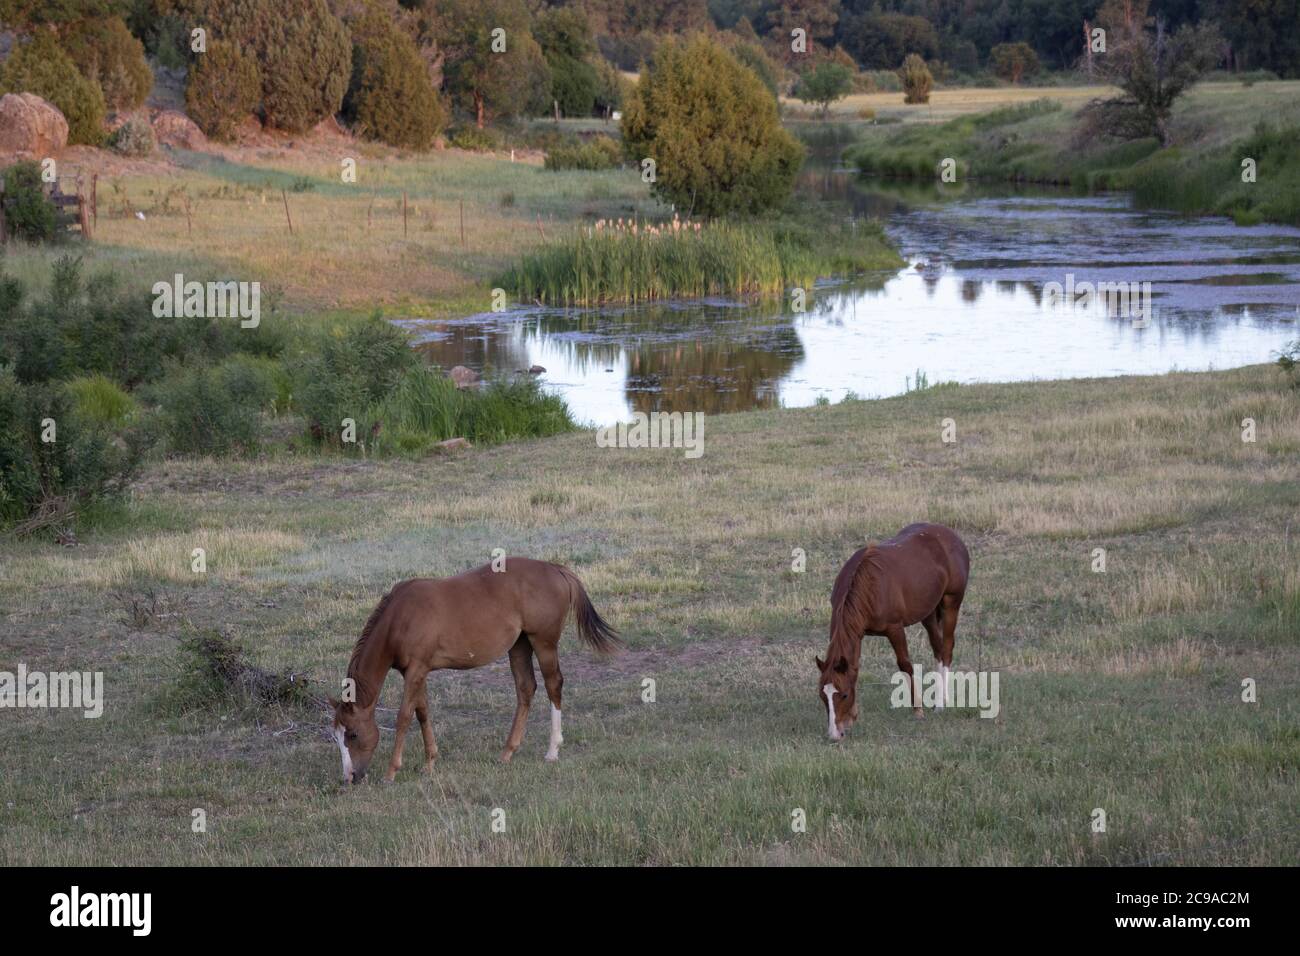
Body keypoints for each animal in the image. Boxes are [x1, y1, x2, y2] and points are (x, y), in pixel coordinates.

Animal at [329, 557, 621, 783]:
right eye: (337, 735)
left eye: (353, 734)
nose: (349, 777)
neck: (400, 617)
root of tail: (555, 569)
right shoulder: (416, 672)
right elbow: (422, 712)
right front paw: (430, 763)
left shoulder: (416, 670)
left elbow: (404, 717)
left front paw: (392, 771)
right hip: (519, 645)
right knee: (526, 689)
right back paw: (507, 752)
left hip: (543, 642)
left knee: (553, 685)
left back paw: (552, 751)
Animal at [817, 523, 969, 739]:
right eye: (823, 695)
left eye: (844, 695)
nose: (834, 735)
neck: (869, 586)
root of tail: (950, 535)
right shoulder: (857, 634)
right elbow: (854, 668)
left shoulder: (895, 629)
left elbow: (905, 664)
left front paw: (918, 710)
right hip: (929, 612)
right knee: (938, 649)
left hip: (951, 602)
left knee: (947, 649)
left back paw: (940, 704)